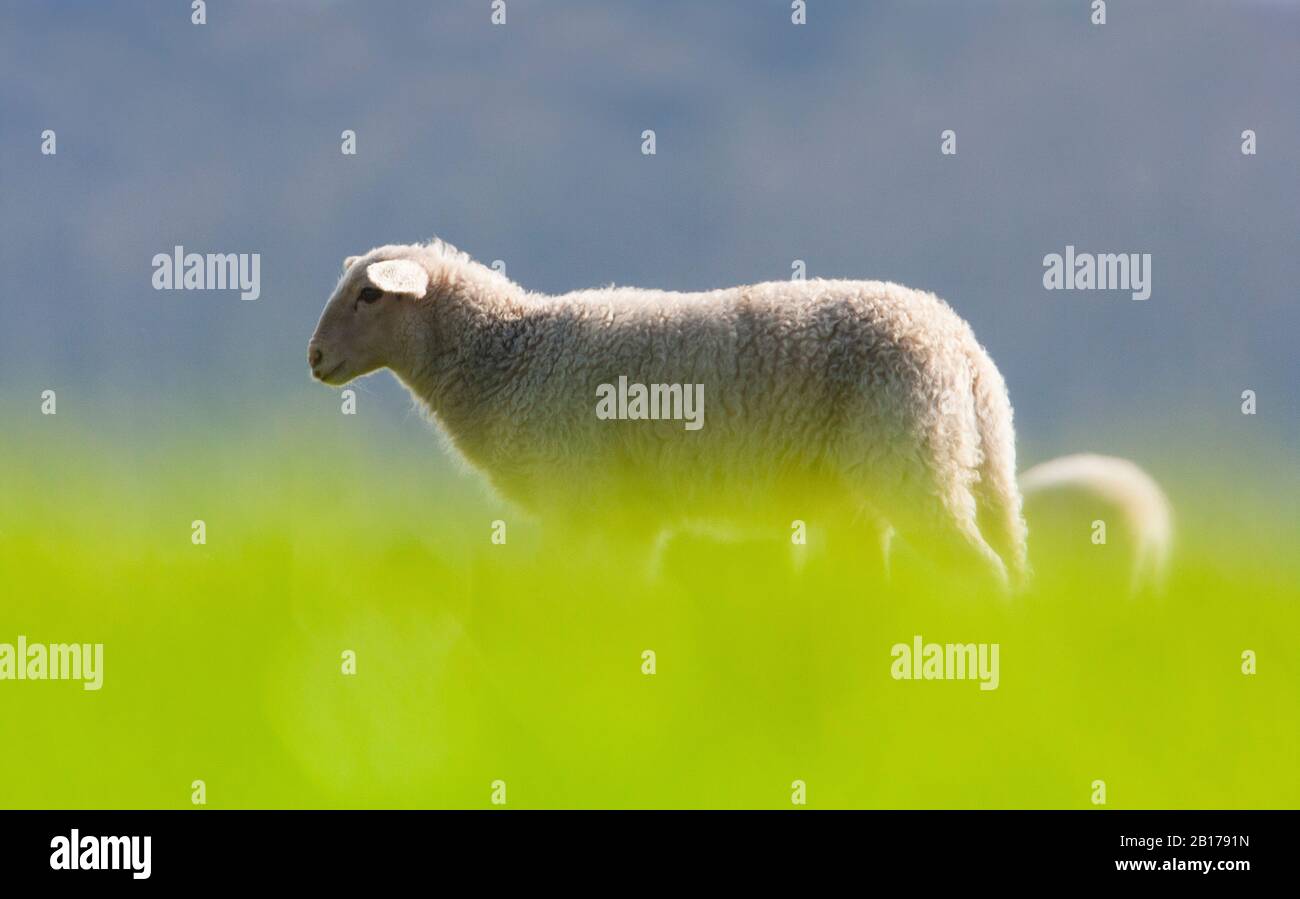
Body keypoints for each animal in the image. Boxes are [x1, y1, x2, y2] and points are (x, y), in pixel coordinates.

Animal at [307, 239, 1028, 588]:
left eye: (370, 295)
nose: (313, 358)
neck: (510, 353)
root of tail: (964, 350)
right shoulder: (631, 518)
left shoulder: (579, 499)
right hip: (885, 491)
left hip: (911, 463)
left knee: (983, 571)